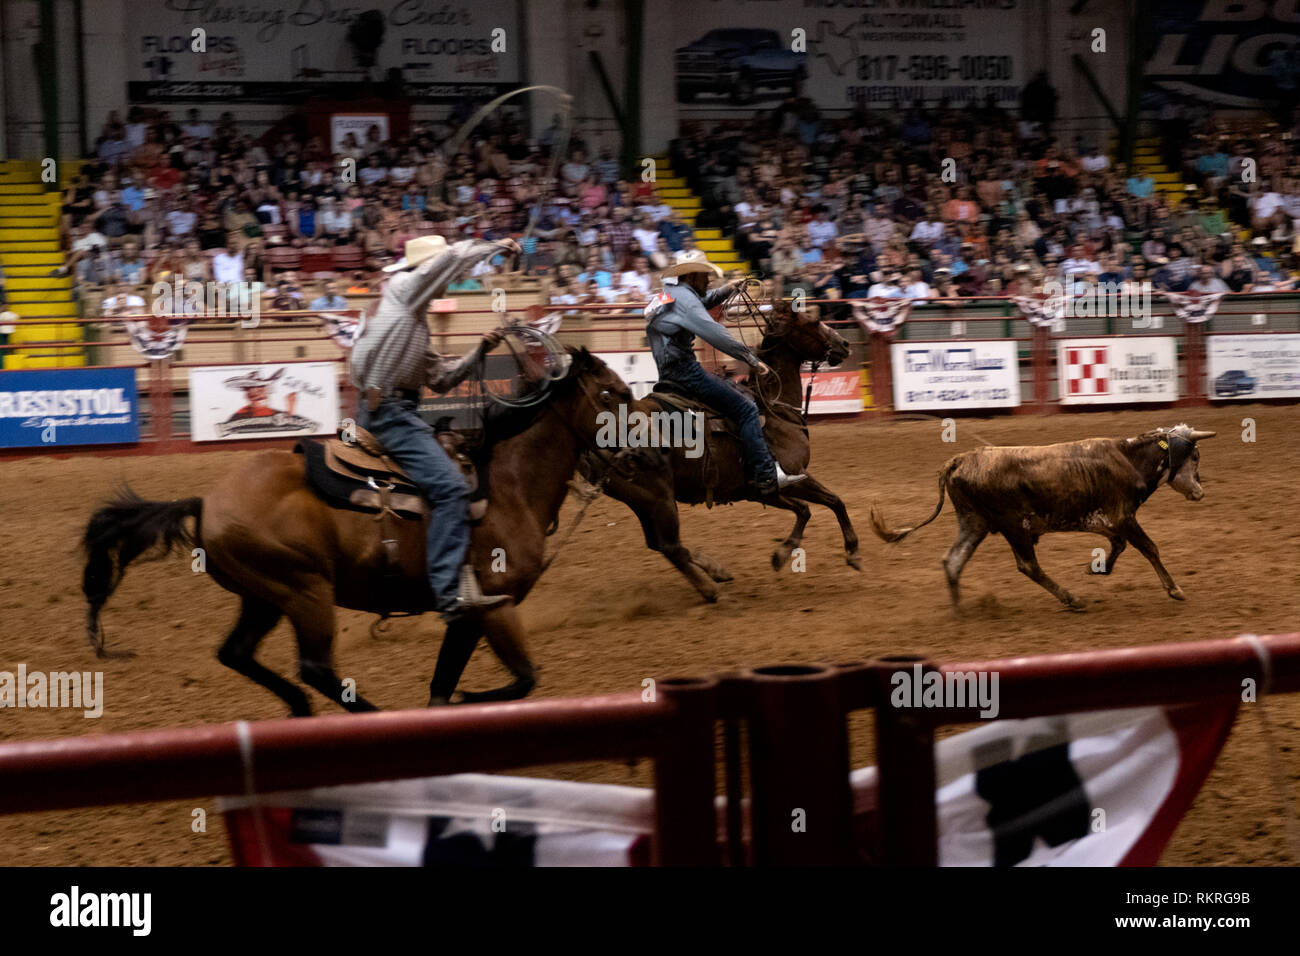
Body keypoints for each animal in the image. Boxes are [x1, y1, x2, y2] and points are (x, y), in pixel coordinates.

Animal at [78, 348, 637, 712]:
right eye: (612, 391)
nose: (642, 447)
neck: (507, 486)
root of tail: (207, 501)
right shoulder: (493, 607)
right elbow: (522, 679)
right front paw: (468, 699)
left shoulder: (466, 617)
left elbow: (444, 685)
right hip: (305, 590)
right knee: (315, 667)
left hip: (264, 596)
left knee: (237, 653)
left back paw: (300, 710)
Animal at [592, 295, 863, 600]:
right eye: (813, 322)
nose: (844, 344)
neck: (774, 409)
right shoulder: (786, 479)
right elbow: (823, 504)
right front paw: (833, 552)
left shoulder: (765, 490)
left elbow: (816, 506)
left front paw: (795, 553)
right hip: (657, 498)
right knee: (670, 545)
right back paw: (710, 587)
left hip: (641, 501)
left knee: (661, 544)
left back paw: (714, 571)